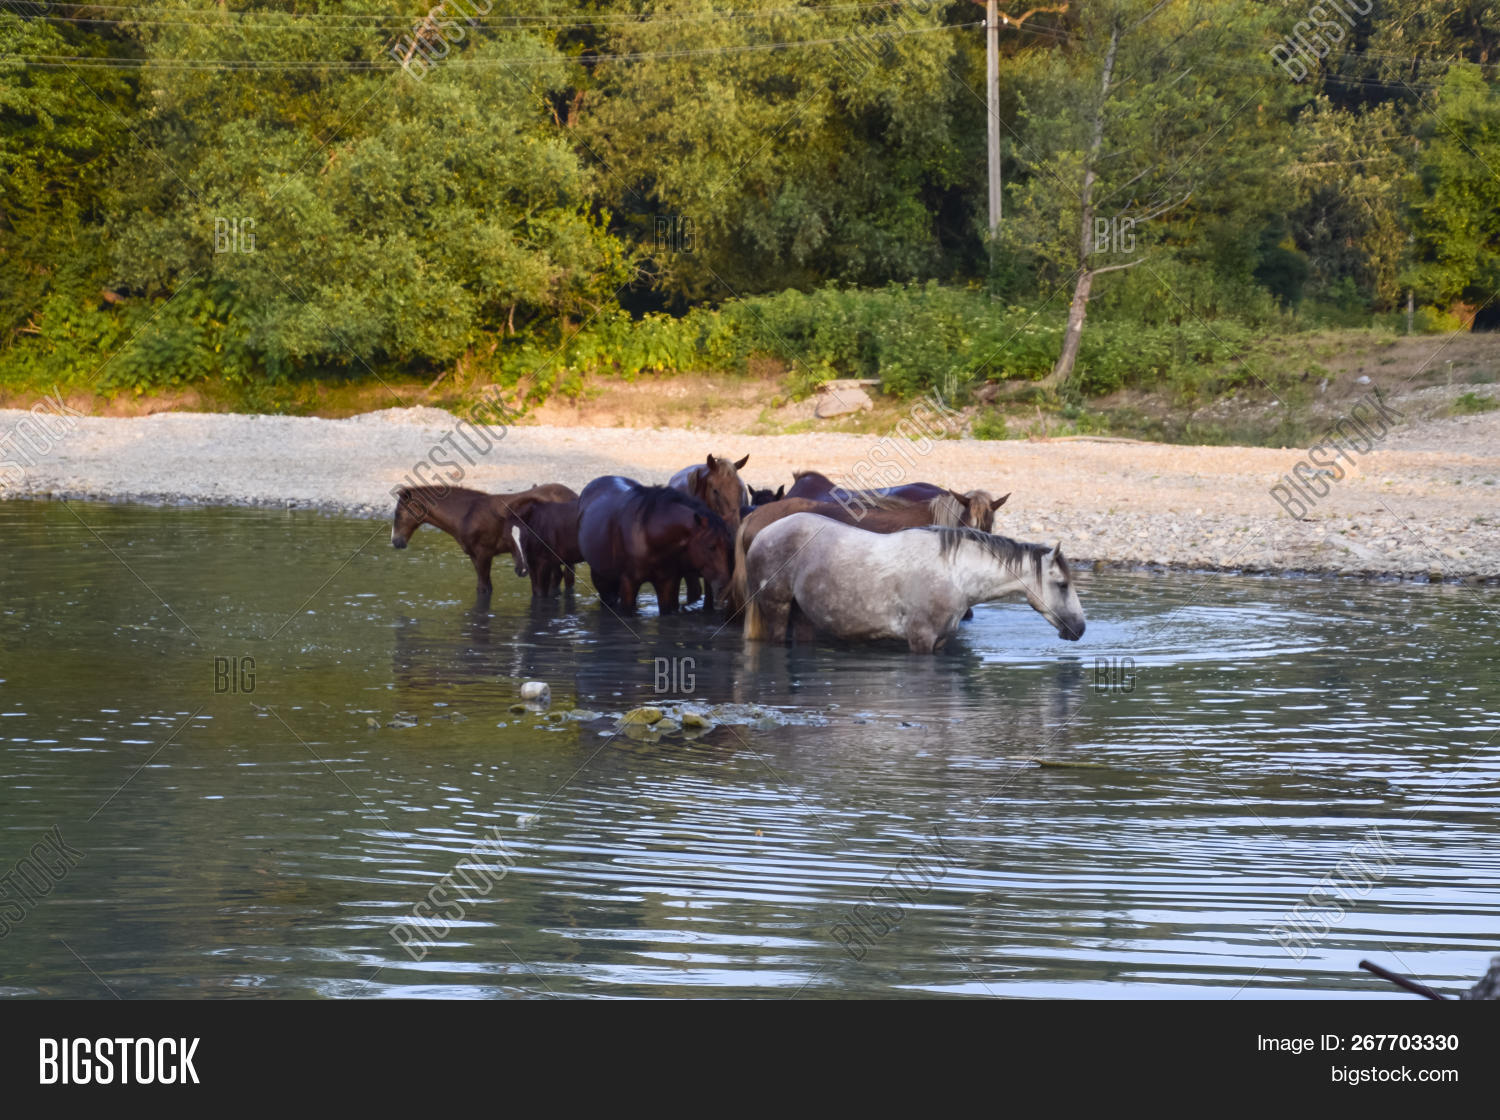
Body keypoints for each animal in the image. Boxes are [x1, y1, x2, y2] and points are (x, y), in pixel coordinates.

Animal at [391, 483, 578, 595]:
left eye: (398, 514)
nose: (396, 541)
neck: (466, 514)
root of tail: (574, 496)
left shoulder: (484, 554)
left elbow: (484, 588)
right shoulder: (474, 556)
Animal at [576, 476, 734, 613]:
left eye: (729, 546)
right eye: (711, 546)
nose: (726, 590)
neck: (647, 535)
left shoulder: (666, 583)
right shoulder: (628, 584)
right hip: (601, 579)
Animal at [742, 513, 1085, 653]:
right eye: (1062, 584)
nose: (1080, 629)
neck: (954, 573)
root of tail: (763, 532)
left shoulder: (941, 640)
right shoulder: (920, 639)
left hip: (802, 616)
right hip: (776, 608)